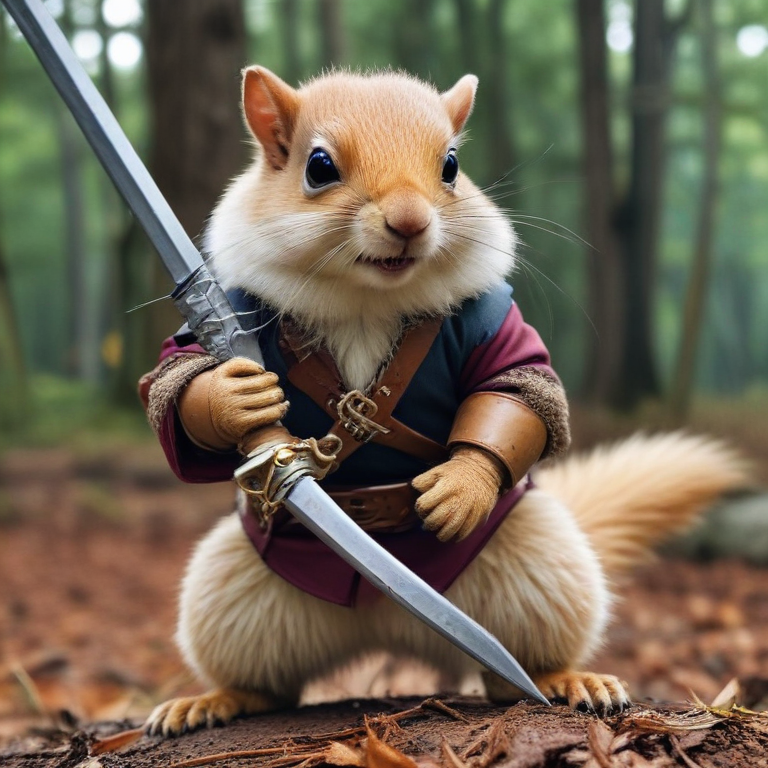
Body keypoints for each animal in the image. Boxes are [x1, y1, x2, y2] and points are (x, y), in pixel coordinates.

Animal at [138, 67, 748, 736]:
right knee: (267, 685)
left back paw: (565, 680)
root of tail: (389, 622)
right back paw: (212, 700)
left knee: (517, 668)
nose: (409, 220)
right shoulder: (235, 306)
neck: (367, 295)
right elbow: (172, 378)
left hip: (543, 568)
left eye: (452, 165)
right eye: (318, 166)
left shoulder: (493, 322)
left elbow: (521, 391)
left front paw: (460, 490)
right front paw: (231, 396)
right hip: (229, 596)